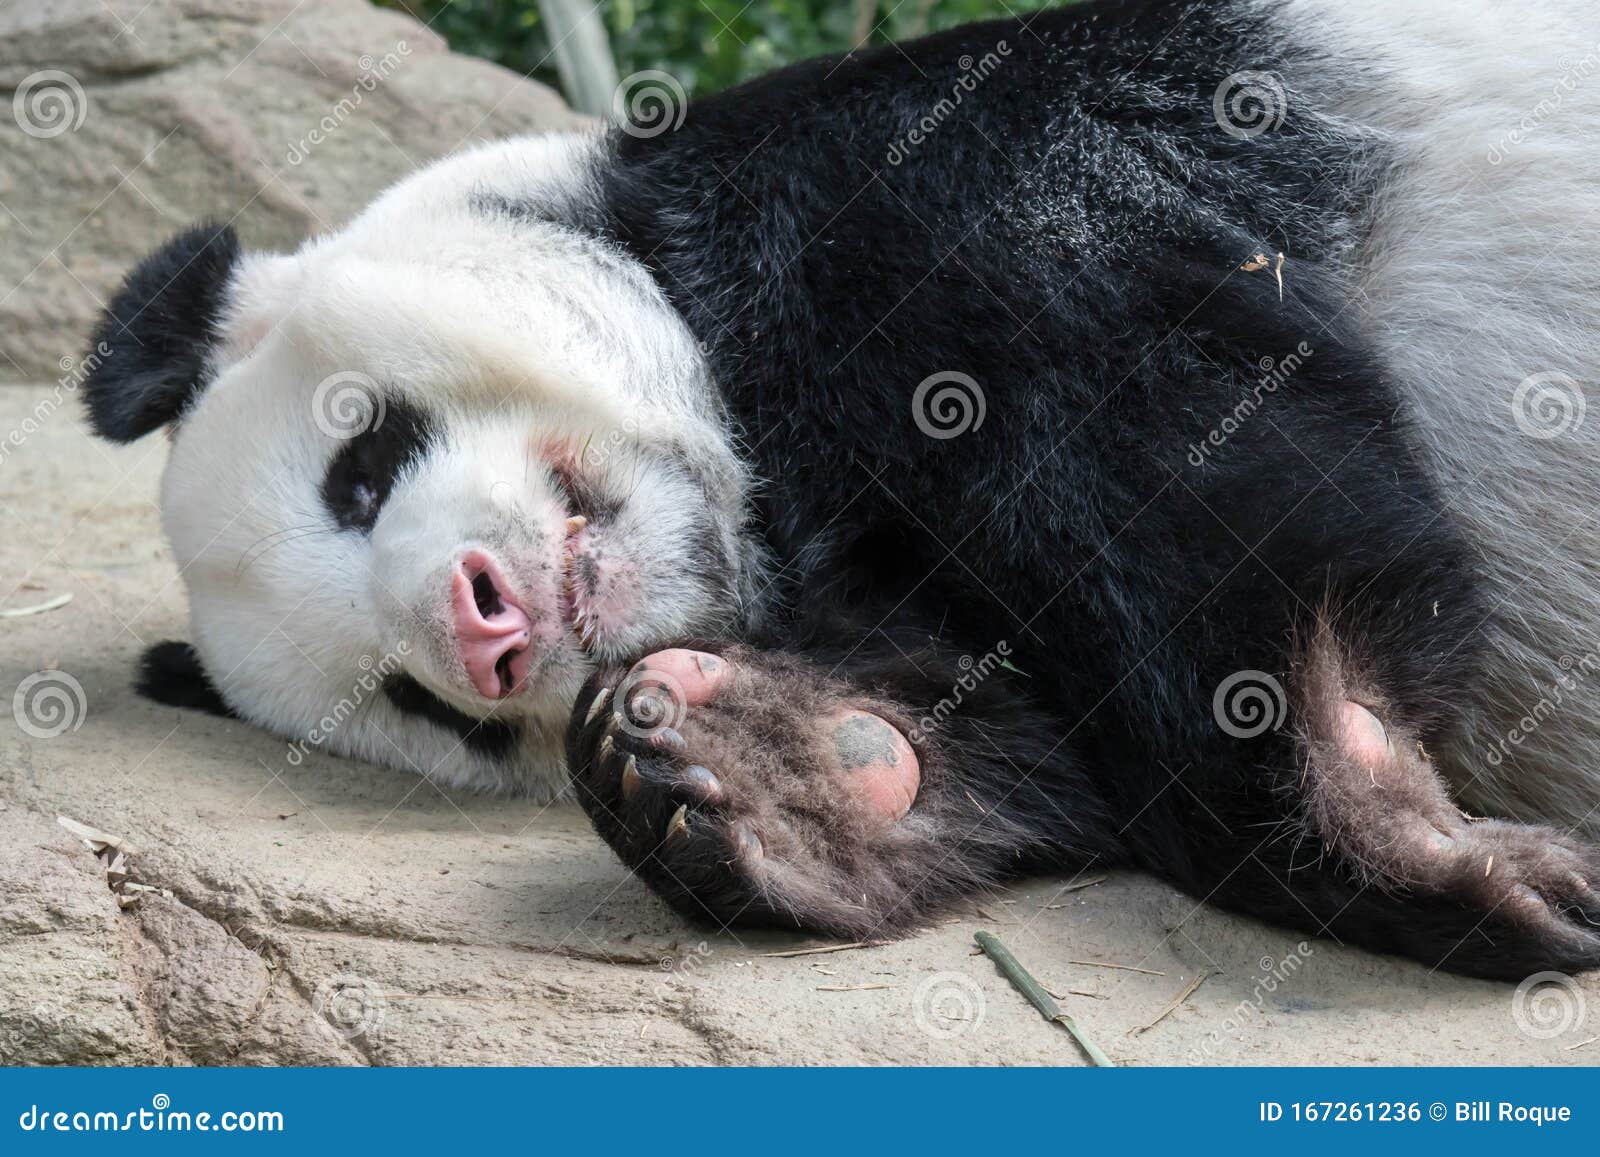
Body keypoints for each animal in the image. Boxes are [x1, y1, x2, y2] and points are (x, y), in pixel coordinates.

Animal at [80, 0, 1600, 981]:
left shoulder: (956, 173)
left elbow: (1185, 444)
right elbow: (1022, 736)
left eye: (363, 462)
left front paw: (1396, 833)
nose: (482, 627)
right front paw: (759, 770)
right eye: (420, 708)